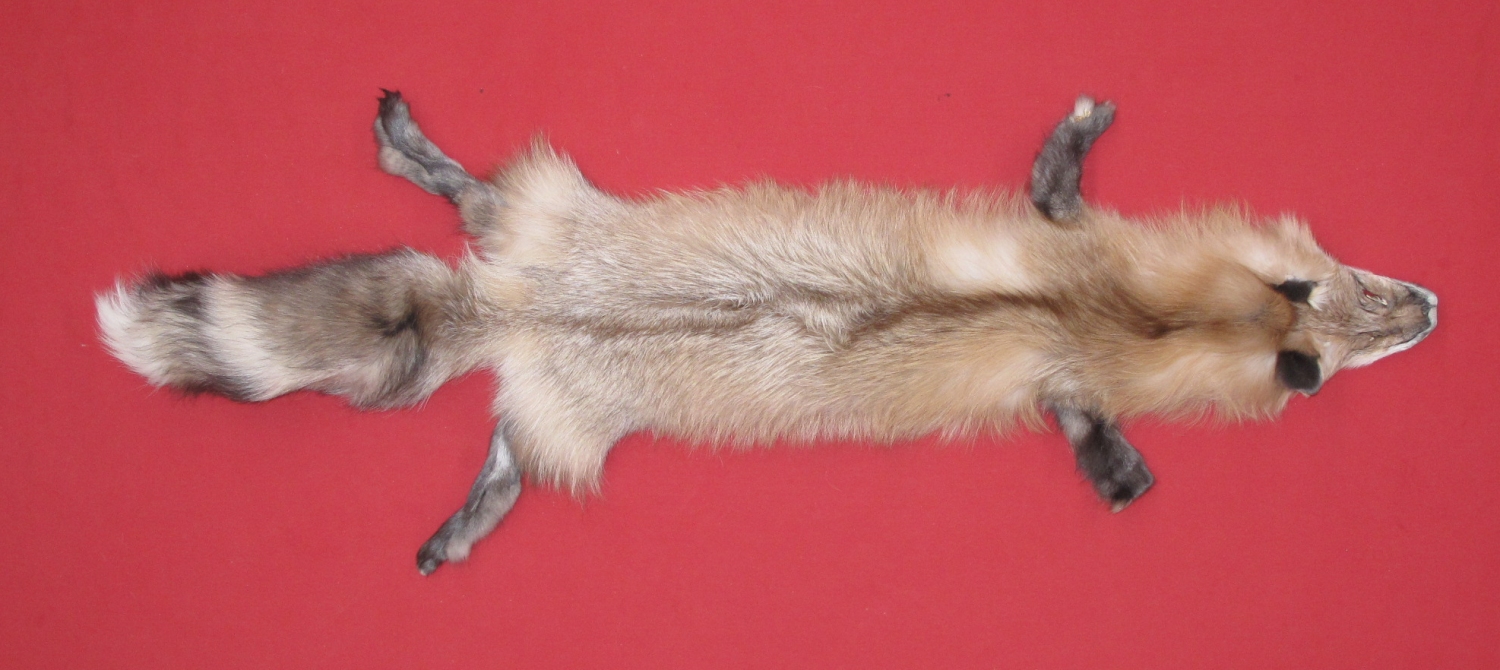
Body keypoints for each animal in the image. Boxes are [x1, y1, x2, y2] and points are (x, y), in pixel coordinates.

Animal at [96, 92, 1437, 575]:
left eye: (1365, 287)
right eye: (1354, 341)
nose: (1434, 307)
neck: (1111, 305)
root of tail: (506, 316)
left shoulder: (1063, 282)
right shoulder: (1064, 294)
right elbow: (1061, 186)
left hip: (544, 355)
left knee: (495, 415)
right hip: (551, 309)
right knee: (472, 229)